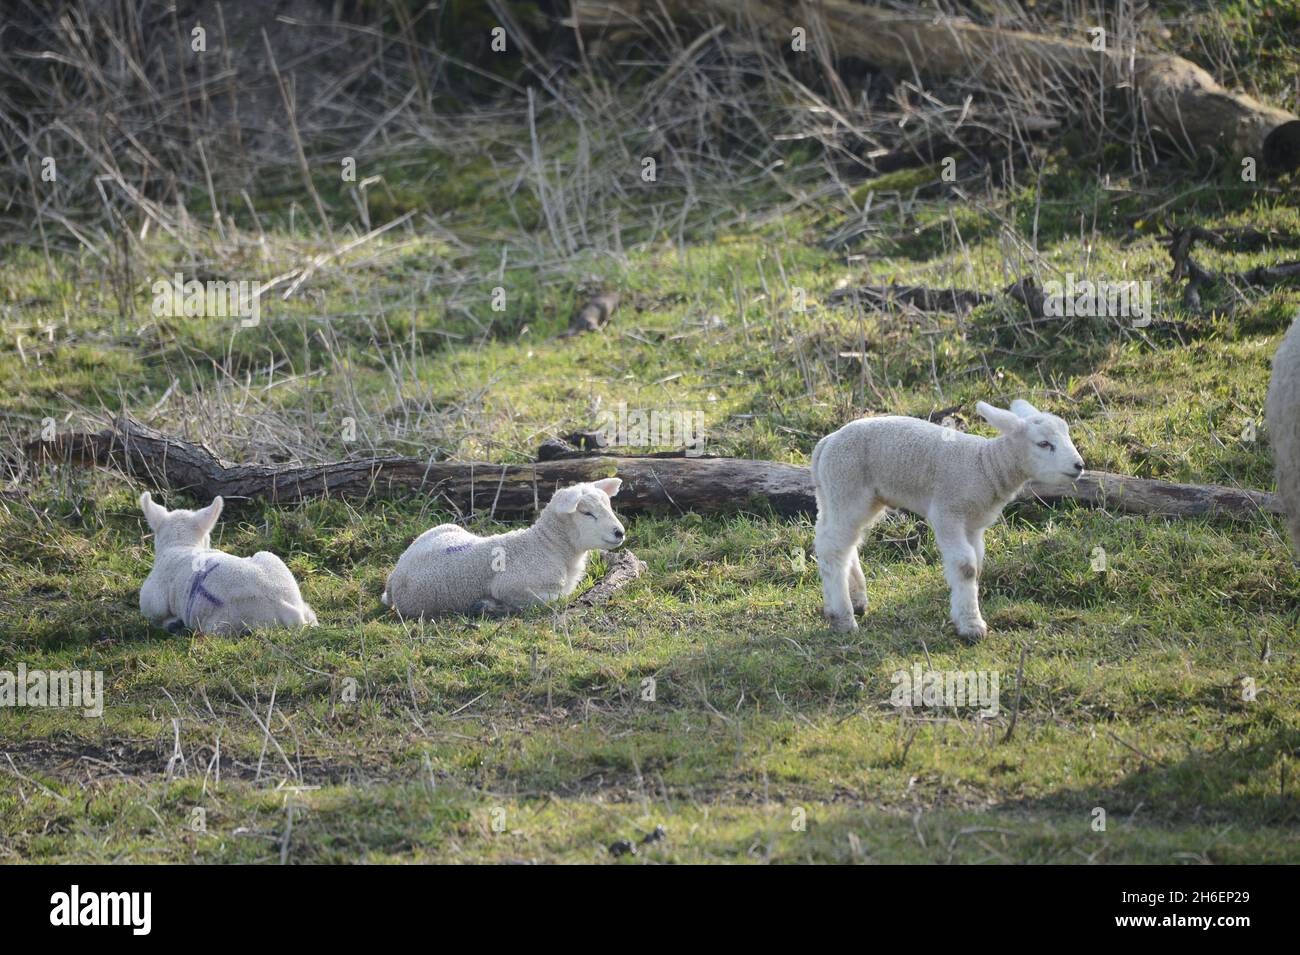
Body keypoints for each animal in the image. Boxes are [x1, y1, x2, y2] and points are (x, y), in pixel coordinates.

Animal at [138, 492, 317, 635]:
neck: (181, 544)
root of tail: (287, 609)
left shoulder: (152, 601)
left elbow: (158, 617)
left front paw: (172, 624)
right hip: (271, 560)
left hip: (221, 624)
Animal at [382, 478, 626, 618]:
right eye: (586, 513)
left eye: (608, 505)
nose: (620, 532)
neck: (548, 545)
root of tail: (392, 579)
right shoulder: (511, 586)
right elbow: (553, 600)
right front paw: (490, 605)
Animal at [811, 400, 1084, 638]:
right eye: (1044, 444)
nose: (1079, 465)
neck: (986, 466)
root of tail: (826, 443)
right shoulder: (947, 513)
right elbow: (966, 566)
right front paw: (971, 626)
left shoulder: (974, 524)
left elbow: (977, 564)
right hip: (846, 486)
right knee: (833, 548)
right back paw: (843, 618)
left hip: (839, 495)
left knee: (841, 541)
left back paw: (855, 600)